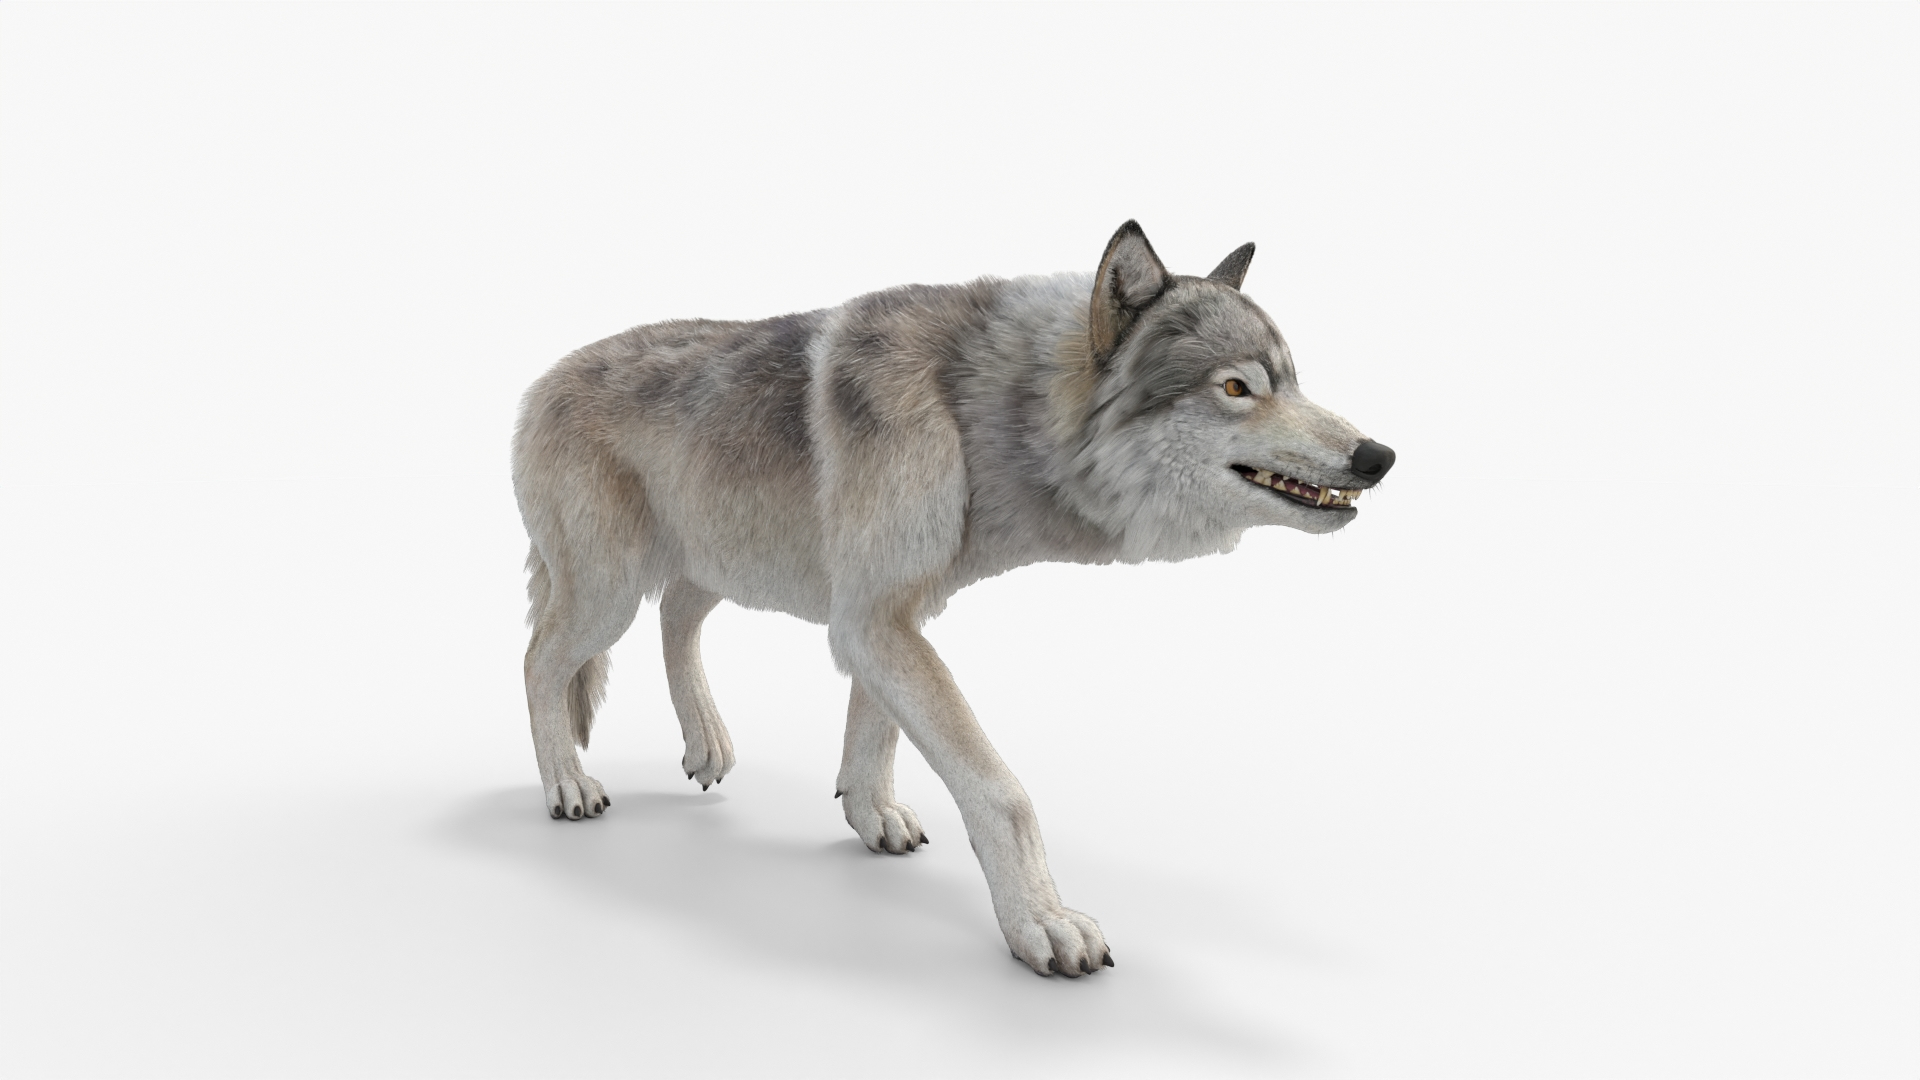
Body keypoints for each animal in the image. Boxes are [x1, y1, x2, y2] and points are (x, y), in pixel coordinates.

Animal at [513, 221, 1395, 976]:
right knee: (538, 659)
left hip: (713, 563)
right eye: (1238, 387)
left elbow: (875, 734)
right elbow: (1001, 791)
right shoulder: (875, 618)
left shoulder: (885, 613)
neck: (979, 414)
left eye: (1294, 381)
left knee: (675, 616)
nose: (1378, 456)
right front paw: (1043, 924)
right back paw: (567, 786)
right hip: (609, 592)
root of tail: (540, 381)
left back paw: (706, 745)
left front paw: (871, 818)